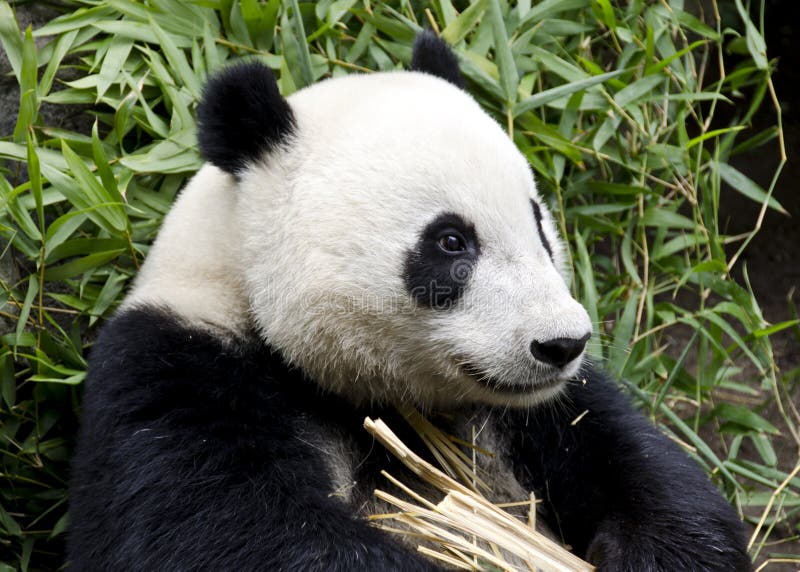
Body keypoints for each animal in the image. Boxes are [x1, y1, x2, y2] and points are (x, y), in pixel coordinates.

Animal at [68, 32, 750, 571]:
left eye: (538, 222)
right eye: (451, 242)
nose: (561, 344)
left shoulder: (543, 412)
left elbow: (643, 469)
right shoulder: (178, 376)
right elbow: (230, 532)